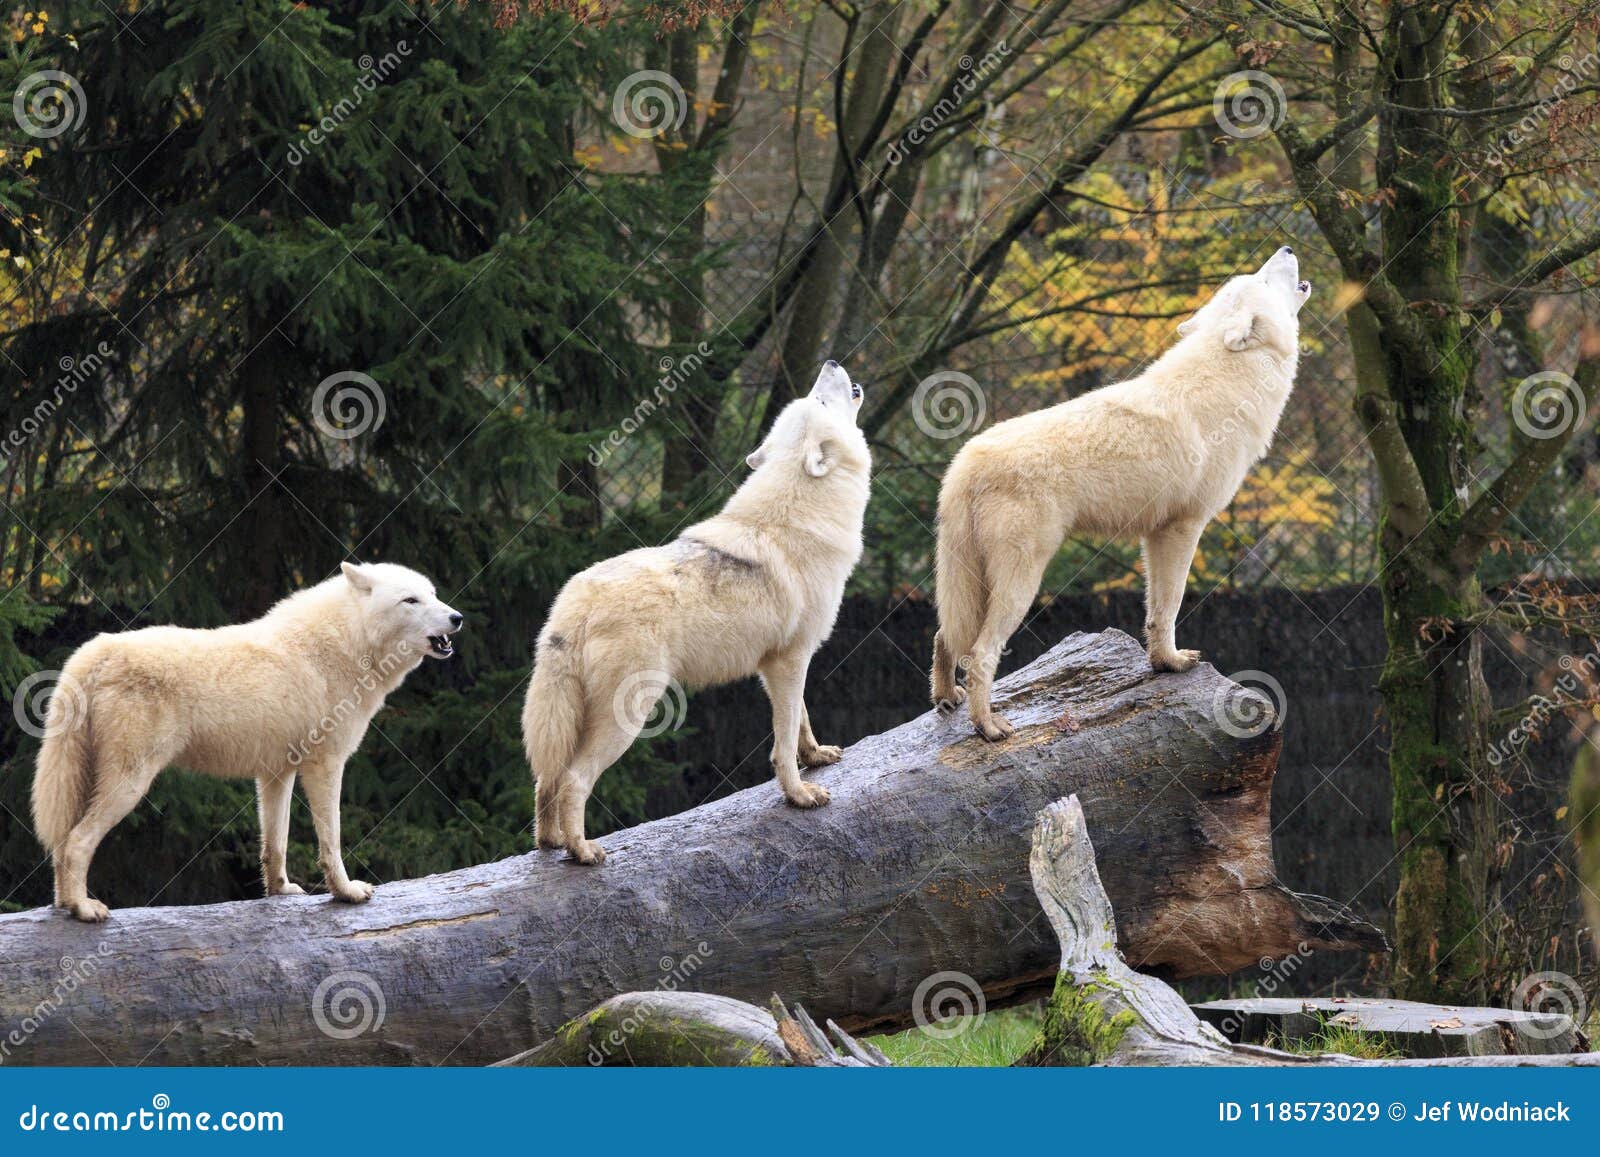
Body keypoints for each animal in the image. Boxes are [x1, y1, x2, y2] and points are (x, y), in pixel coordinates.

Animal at [31, 562, 464, 921]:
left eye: (433, 594)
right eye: (411, 600)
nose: (458, 617)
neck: (344, 645)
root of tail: (92, 652)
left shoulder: (277, 773)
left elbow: (275, 844)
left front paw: (280, 892)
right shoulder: (326, 766)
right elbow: (332, 841)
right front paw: (346, 892)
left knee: (61, 844)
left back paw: (65, 904)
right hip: (130, 784)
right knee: (76, 842)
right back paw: (84, 909)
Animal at [523, 361, 871, 864]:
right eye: (820, 399)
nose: (830, 363)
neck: (798, 515)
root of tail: (574, 603)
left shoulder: (783, 663)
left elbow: (800, 721)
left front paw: (815, 758)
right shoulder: (790, 660)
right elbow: (783, 740)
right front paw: (799, 795)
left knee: (545, 778)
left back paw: (551, 843)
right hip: (628, 717)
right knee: (572, 780)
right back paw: (583, 851)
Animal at [931, 246, 1311, 739]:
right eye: (1262, 278)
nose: (1286, 249)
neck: (1229, 379)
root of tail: (965, 460)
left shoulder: (1155, 535)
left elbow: (1154, 611)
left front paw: (1162, 663)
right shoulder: (1184, 527)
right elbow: (1171, 604)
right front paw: (1173, 663)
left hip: (968, 583)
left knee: (944, 635)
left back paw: (946, 699)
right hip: (1020, 583)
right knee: (979, 654)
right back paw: (988, 726)